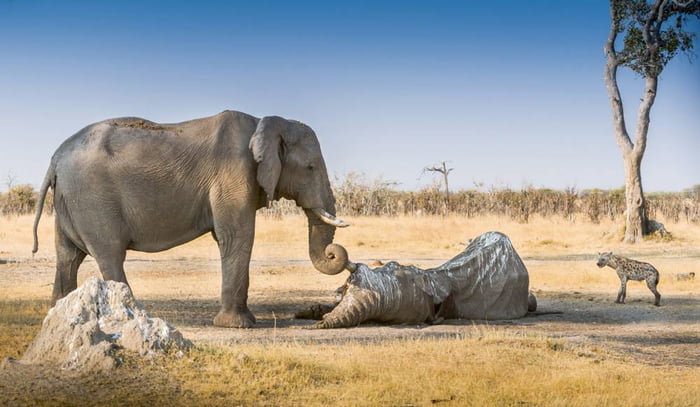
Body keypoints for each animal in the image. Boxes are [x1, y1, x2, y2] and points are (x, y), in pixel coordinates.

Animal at [32, 110, 351, 328]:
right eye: (310, 167)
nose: (336, 255)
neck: (264, 121)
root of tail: (55, 157)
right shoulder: (234, 175)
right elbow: (237, 236)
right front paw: (239, 325)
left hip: (69, 201)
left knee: (67, 256)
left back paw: (58, 317)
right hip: (93, 198)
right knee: (109, 255)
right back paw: (131, 318)